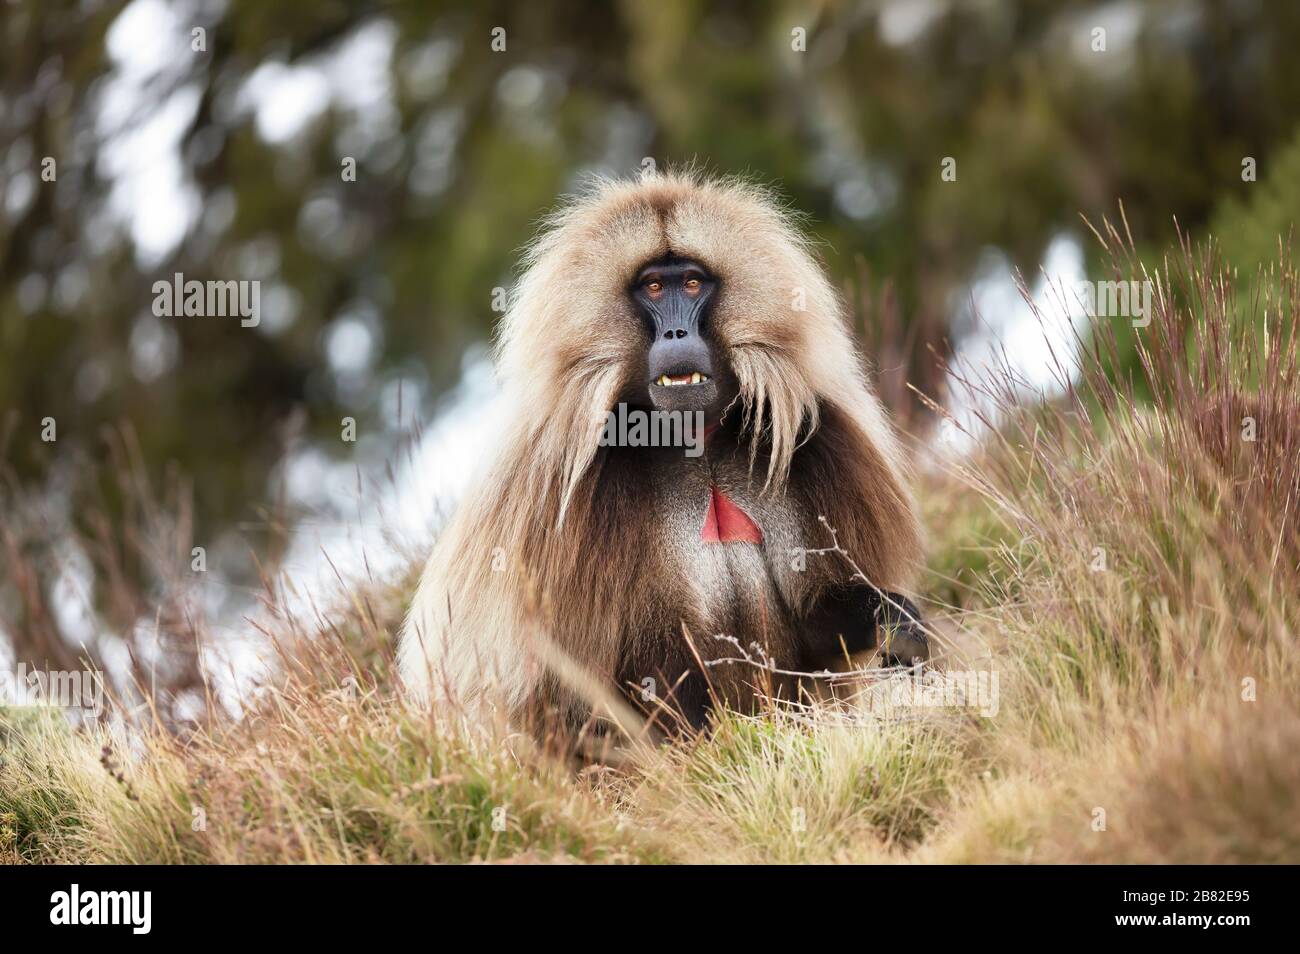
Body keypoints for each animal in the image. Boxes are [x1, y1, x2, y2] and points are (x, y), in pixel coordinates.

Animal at [398, 171, 928, 735]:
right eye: (653, 287)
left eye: (692, 283)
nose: (676, 332)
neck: (693, 440)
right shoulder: (547, 486)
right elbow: (558, 682)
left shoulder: (820, 433)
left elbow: (817, 615)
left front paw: (894, 622)